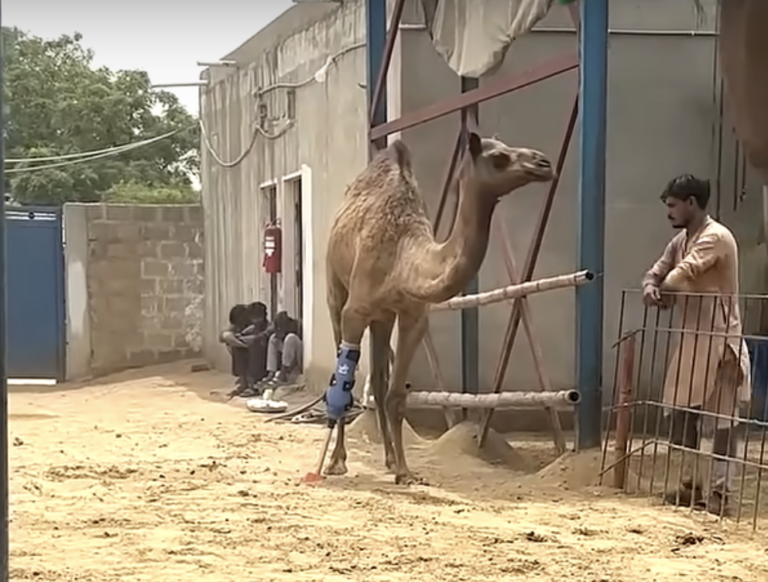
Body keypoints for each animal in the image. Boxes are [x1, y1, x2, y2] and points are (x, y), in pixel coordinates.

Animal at [323, 132, 554, 484]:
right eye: (499, 158)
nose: (544, 163)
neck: (403, 259)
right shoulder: (356, 310)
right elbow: (343, 383)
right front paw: (338, 463)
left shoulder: (413, 316)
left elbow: (397, 395)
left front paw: (404, 471)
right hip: (335, 288)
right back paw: (338, 461)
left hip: (383, 317)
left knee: (380, 379)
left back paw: (388, 459)